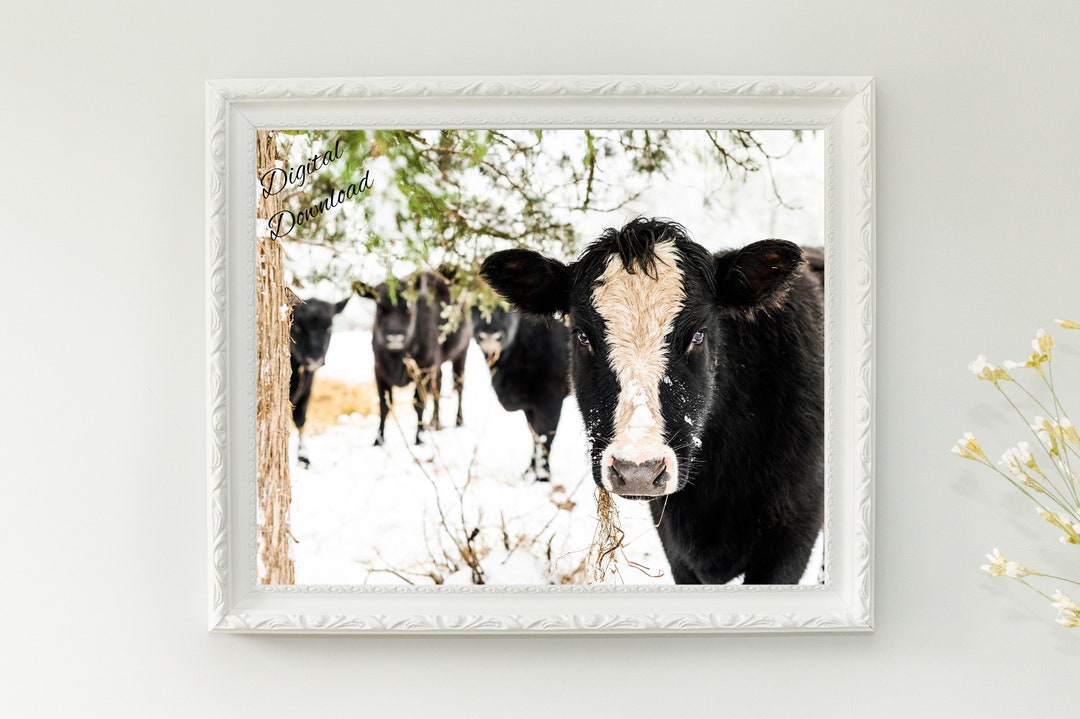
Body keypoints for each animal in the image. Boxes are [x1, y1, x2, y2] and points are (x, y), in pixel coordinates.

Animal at [289, 294, 350, 468]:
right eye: (297, 328)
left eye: (329, 329)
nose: (315, 359)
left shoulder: (306, 391)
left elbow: (300, 420)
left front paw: (303, 458)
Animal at [357, 270, 471, 446]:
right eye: (379, 306)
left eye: (409, 306)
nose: (394, 337)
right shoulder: (379, 371)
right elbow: (384, 405)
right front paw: (378, 440)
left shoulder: (423, 371)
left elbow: (419, 403)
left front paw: (418, 438)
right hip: (437, 367)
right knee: (438, 389)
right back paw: (434, 423)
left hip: (460, 355)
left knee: (458, 386)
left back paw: (458, 421)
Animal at [472, 305, 570, 481]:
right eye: (473, 306)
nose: (489, 336)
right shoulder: (530, 406)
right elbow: (534, 434)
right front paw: (528, 471)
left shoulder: (551, 400)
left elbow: (545, 436)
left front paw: (542, 477)